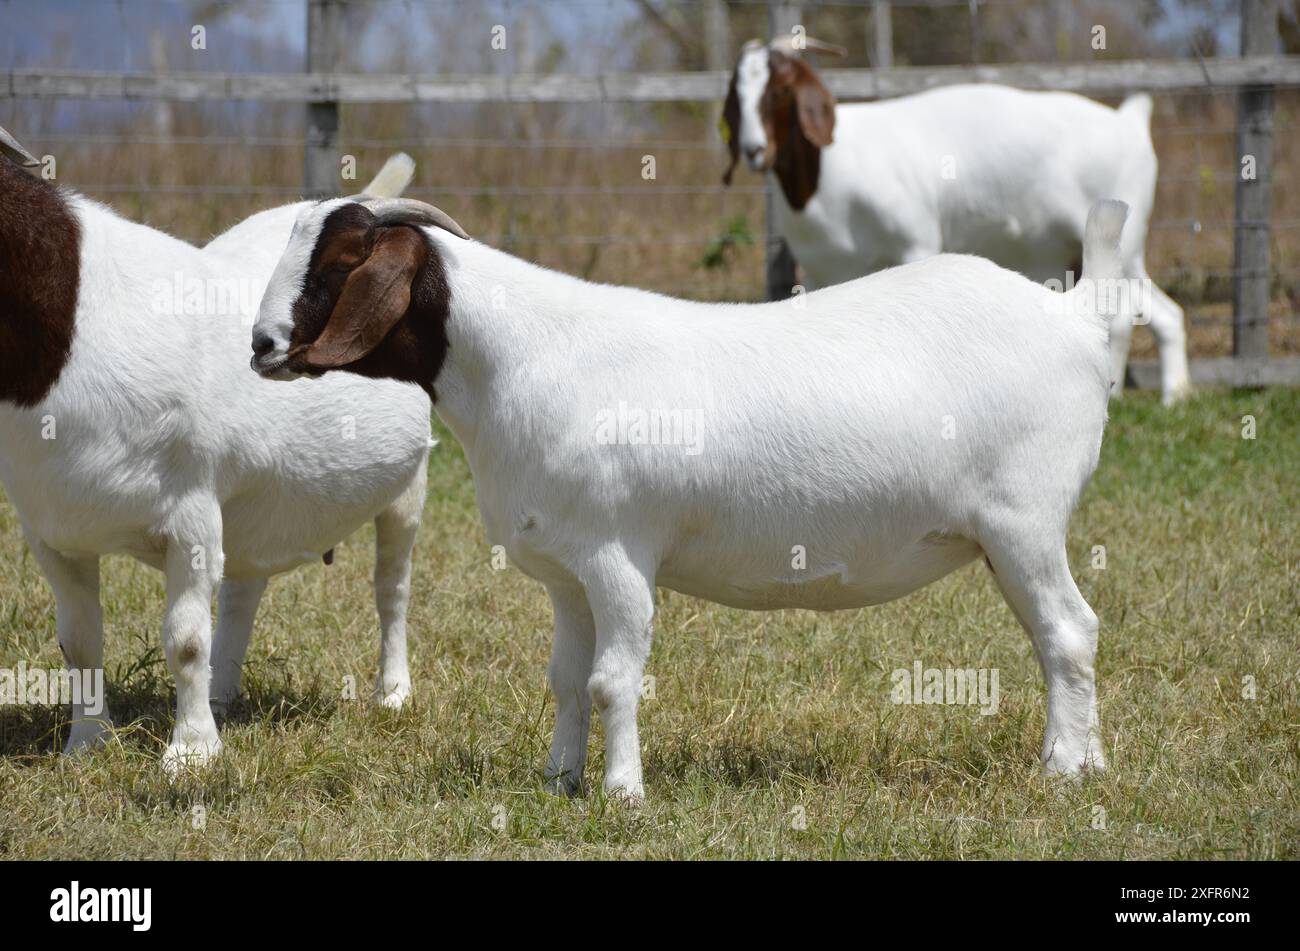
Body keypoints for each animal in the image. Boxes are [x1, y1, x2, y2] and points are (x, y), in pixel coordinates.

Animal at [0, 135, 431, 772]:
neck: (75, 329)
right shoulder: (53, 532)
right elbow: (78, 642)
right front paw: (86, 746)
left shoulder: (192, 509)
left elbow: (183, 639)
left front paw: (191, 753)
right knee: (242, 589)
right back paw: (224, 692)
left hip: (409, 485)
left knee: (391, 589)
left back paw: (394, 693)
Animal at [251, 193, 1127, 800]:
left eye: (338, 264)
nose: (260, 345)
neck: (524, 359)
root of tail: (1077, 319)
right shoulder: (566, 571)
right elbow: (566, 677)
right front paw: (559, 780)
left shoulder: (618, 554)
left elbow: (613, 678)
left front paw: (622, 792)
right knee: (1068, 635)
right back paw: (1092, 759)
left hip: (1023, 521)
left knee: (1067, 631)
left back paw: (1062, 770)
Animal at [721, 39, 1191, 406]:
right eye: (736, 95)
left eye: (782, 89)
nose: (753, 150)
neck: (830, 168)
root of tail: (1128, 120)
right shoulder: (820, 270)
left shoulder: (915, 242)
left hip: (1127, 242)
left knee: (1149, 314)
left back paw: (1167, 396)